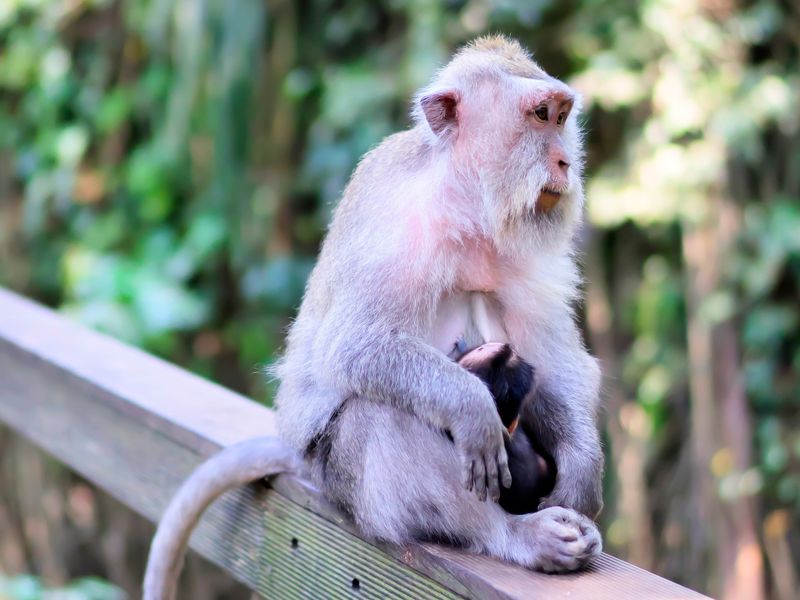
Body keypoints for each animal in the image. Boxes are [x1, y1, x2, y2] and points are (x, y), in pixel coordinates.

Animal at [144, 36, 604, 599]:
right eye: (540, 115)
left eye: (560, 115)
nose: (565, 162)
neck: (464, 205)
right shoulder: (395, 226)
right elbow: (353, 347)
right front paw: (471, 406)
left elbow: (557, 361)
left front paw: (581, 471)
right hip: (340, 478)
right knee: (379, 415)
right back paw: (511, 535)